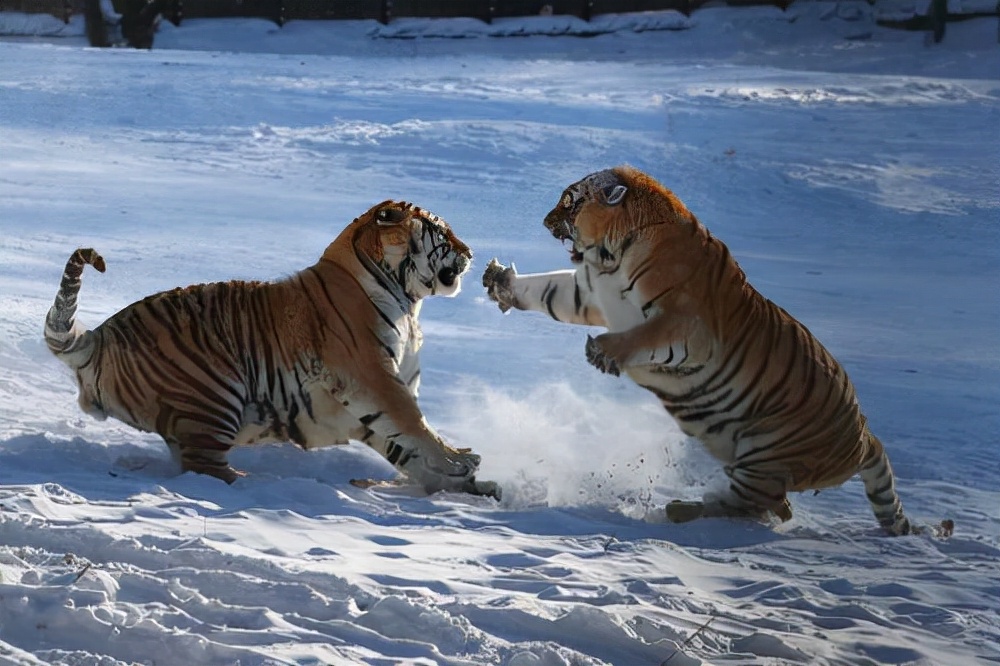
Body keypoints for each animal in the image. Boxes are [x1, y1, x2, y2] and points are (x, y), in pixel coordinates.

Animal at [45, 200, 499, 499]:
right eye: (442, 234)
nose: (471, 253)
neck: (409, 302)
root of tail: (101, 335)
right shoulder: (372, 375)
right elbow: (414, 423)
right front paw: (460, 461)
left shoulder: (365, 397)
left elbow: (402, 442)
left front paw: (462, 484)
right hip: (214, 392)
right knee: (204, 468)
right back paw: (254, 486)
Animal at [482, 165, 951, 536]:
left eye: (570, 202)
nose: (545, 220)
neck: (613, 256)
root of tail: (863, 433)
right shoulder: (588, 293)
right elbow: (547, 289)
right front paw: (501, 281)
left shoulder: (688, 326)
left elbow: (643, 337)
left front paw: (603, 352)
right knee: (774, 509)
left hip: (765, 454)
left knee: (756, 506)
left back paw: (677, 510)